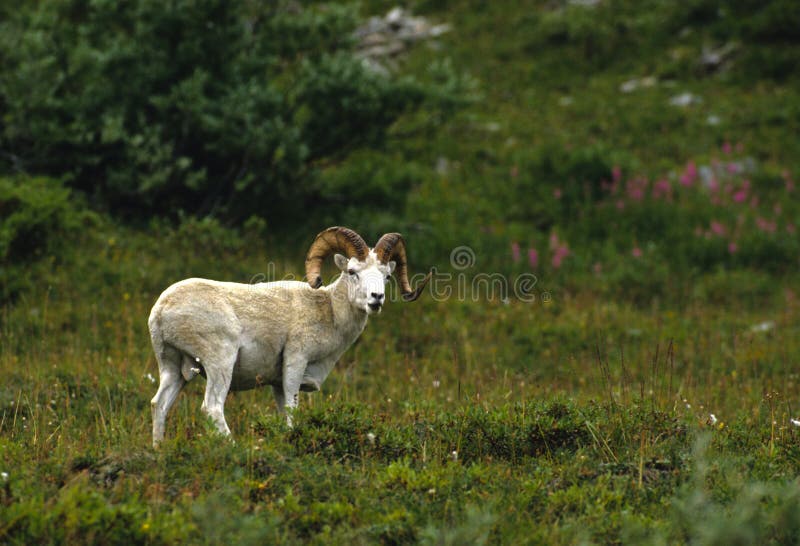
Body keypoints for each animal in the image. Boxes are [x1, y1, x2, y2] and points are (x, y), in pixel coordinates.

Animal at [148, 226, 431, 446]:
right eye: (353, 272)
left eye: (387, 276)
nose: (376, 298)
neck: (328, 312)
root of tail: (162, 310)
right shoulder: (295, 363)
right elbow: (292, 411)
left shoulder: (276, 382)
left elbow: (284, 413)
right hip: (220, 362)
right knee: (212, 407)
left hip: (172, 368)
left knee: (159, 404)